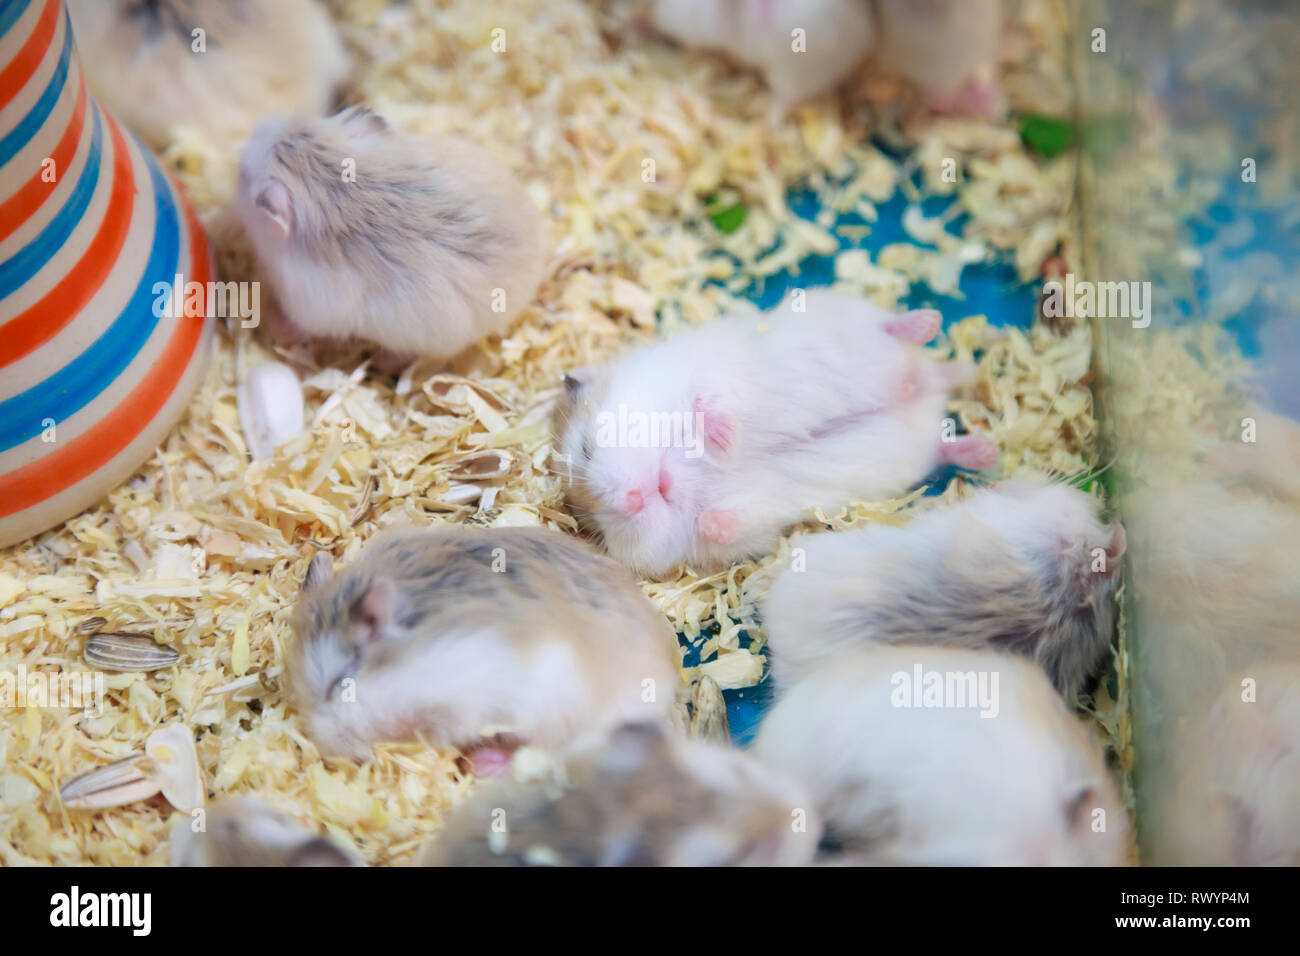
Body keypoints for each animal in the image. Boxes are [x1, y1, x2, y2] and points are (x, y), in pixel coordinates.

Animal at [237, 106, 546, 364]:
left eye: (243, 177)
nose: (241, 148)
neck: (330, 184)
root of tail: (535, 266)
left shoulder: (308, 303)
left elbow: (295, 326)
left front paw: (266, 313)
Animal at [554, 290, 997, 576]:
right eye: (594, 524)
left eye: (588, 449)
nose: (636, 498)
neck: (679, 462)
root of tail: (928, 387)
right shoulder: (749, 522)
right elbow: (725, 521)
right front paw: (710, 522)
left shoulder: (700, 374)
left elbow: (706, 406)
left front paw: (725, 440)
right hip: (918, 449)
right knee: (943, 443)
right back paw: (983, 444)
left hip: (844, 318)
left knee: (892, 329)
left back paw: (928, 324)